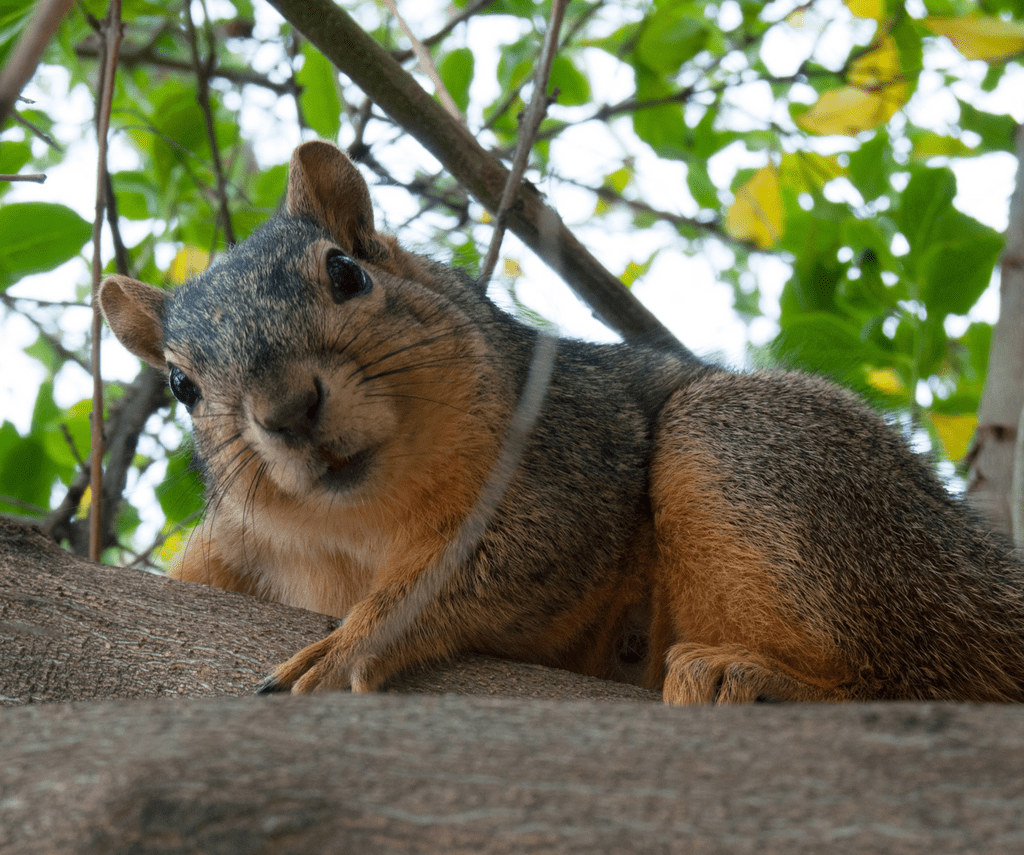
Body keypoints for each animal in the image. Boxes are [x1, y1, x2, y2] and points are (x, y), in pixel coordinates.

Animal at [99, 140, 1024, 704]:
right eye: (180, 384)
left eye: (347, 273)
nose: (288, 409)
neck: (359, 526)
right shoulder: (224, 557)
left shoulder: (572, 454)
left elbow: (481, 566)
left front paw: (351, 643)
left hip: (757, 455)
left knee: (917, 677)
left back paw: (760, 677)